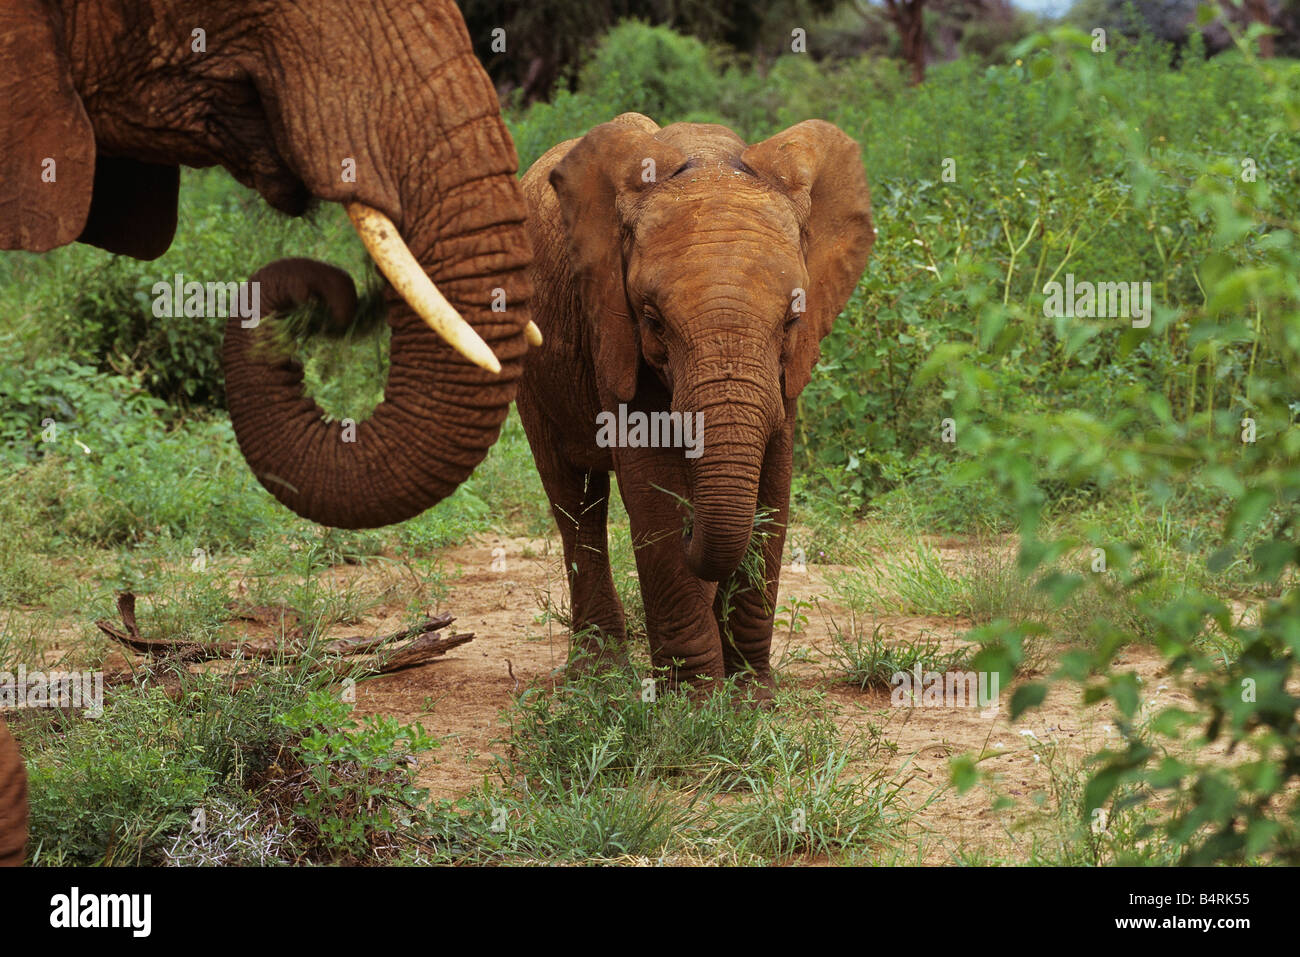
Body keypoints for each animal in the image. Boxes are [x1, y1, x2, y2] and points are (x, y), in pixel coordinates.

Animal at [516, 113, 874, 700]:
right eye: (652, 319)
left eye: (793, 320)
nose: (692, 530)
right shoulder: (612, 331)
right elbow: (652, 491)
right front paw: (694, 705)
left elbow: (774, 483)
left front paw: (752, 700)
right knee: (576, 499)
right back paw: (598, 677)